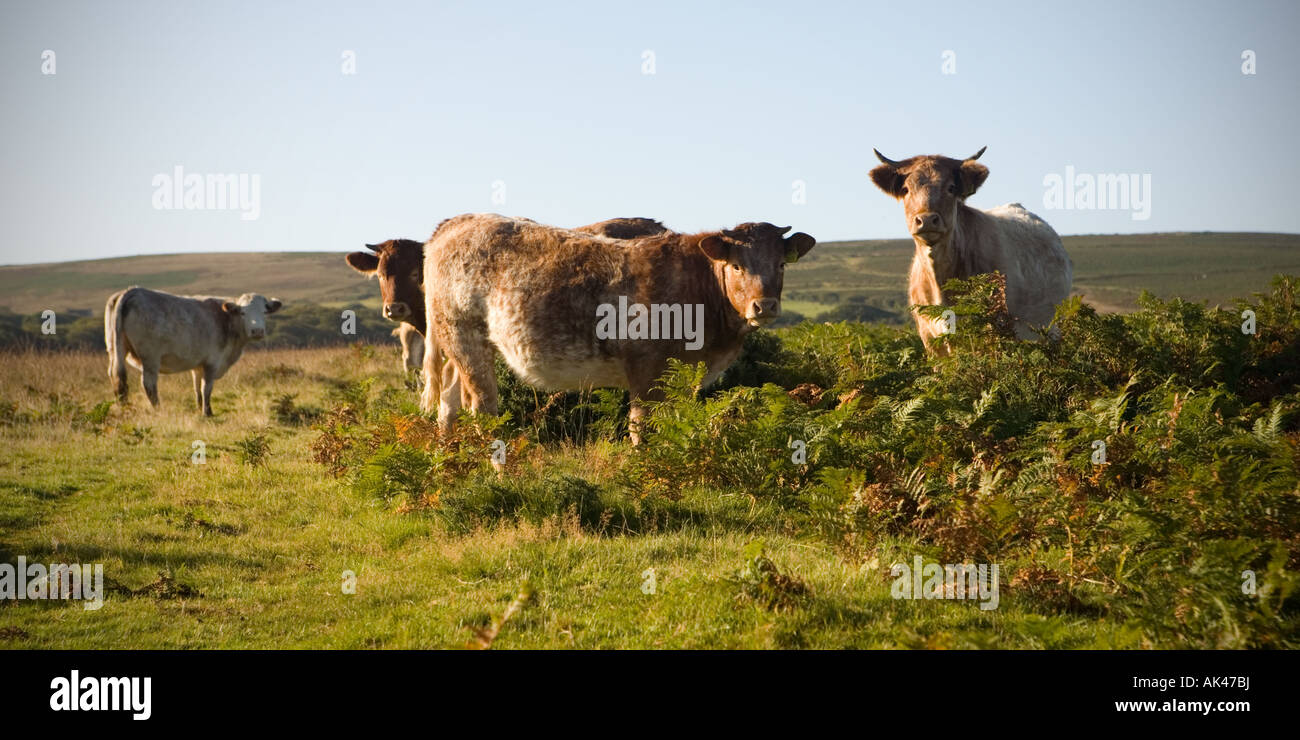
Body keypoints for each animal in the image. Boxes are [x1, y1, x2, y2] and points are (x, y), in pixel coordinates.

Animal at [105, 287, 283, 416]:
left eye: (264, 311)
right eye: (243, 312)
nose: (257, 331)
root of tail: (131, 291)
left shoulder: (198, 365)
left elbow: (197, 388)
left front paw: (200, 409)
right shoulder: (212, 362)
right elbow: (206, 388)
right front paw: (207, 413)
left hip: (115, 349)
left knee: (116, 377)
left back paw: (123, 407)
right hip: (150, 357)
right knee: (148, 384)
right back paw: (159, 409)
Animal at [417, 214, 815, 443]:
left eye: (781, 264)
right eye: (736, 266)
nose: (764, 306)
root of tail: (458, 222)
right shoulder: (646, 370)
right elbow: (642, 429)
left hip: (459, 343)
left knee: (448, 401)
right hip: (465, 336)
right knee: (482, 407)